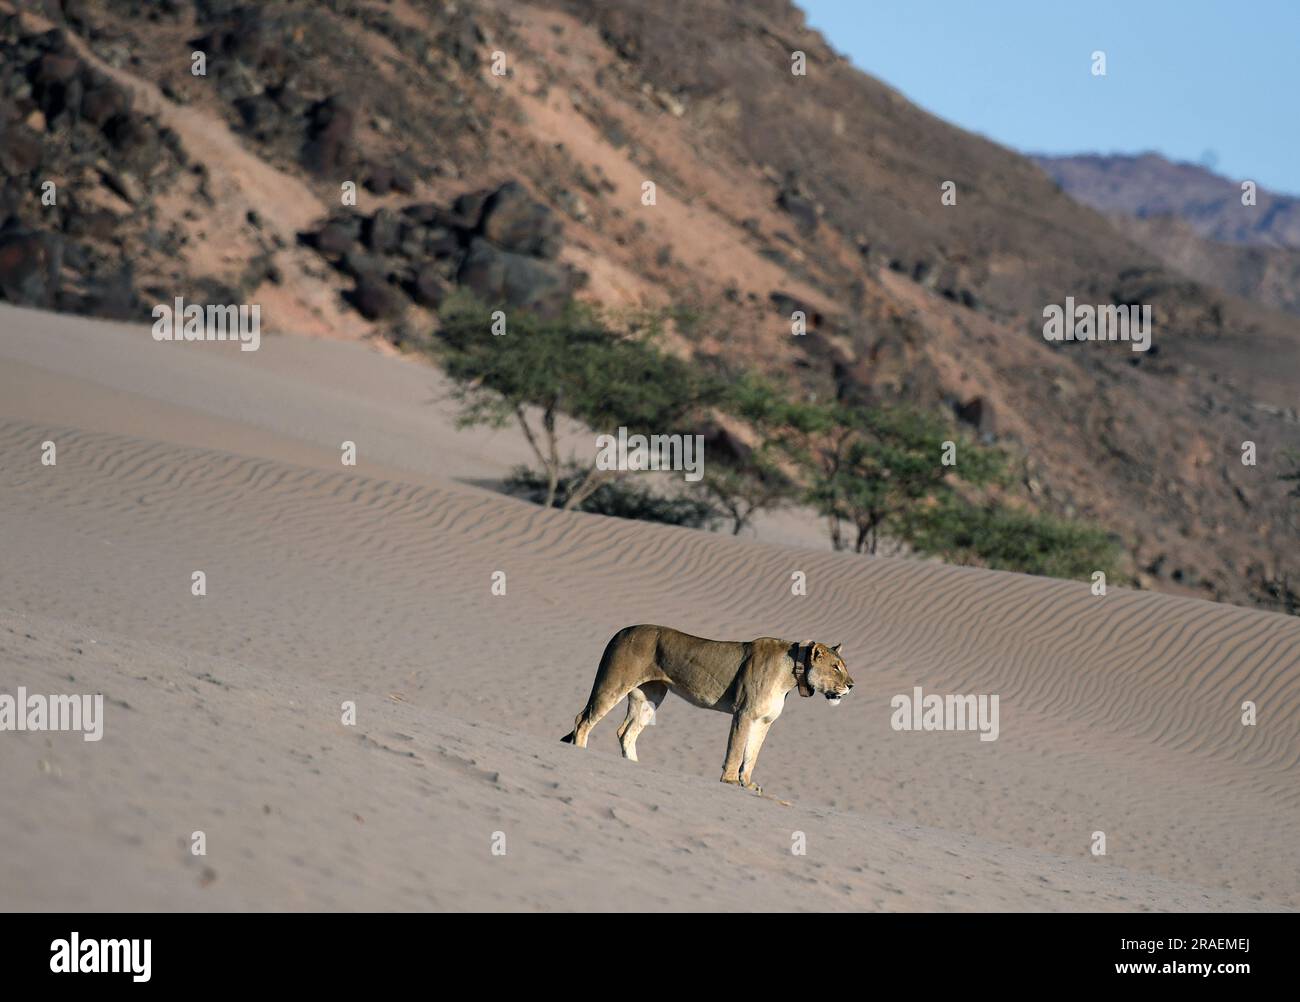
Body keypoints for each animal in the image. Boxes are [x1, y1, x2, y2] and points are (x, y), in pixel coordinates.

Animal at [561, 624, 853, 794]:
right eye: (836, 667)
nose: (852, 685)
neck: (792, 673)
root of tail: (621, 631)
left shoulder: (763, 721)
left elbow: (752, 754)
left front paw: (748, 784)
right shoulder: (744, 713)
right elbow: (736, 750)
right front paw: (730, 781)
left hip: (650, 695)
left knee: (626, 732)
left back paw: (634, 765)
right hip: (614, 683)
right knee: (583, 719)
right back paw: (581, 752)